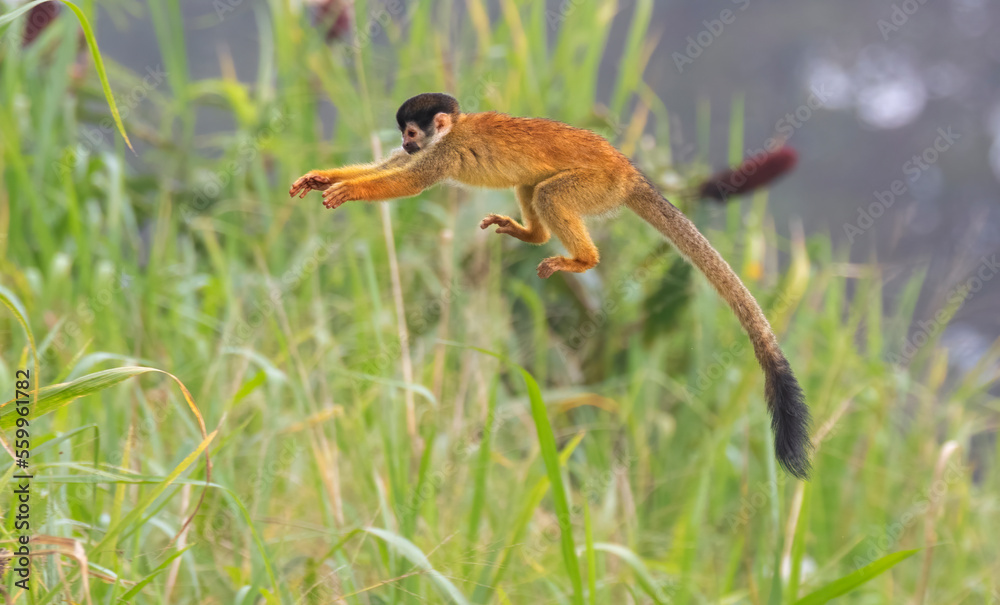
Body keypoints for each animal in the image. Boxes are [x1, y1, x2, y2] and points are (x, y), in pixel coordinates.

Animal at [289, 93, 812, 479]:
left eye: (411, 131)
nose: (407, 142)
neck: (449, 132)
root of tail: (630, 173)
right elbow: (386, 167)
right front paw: (323, 178)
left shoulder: (442, 154)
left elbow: (409, 181)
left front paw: (351, 190)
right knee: (531, 184)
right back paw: (534, 235)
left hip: (597, 186)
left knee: (549, 191)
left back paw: (583, 259)